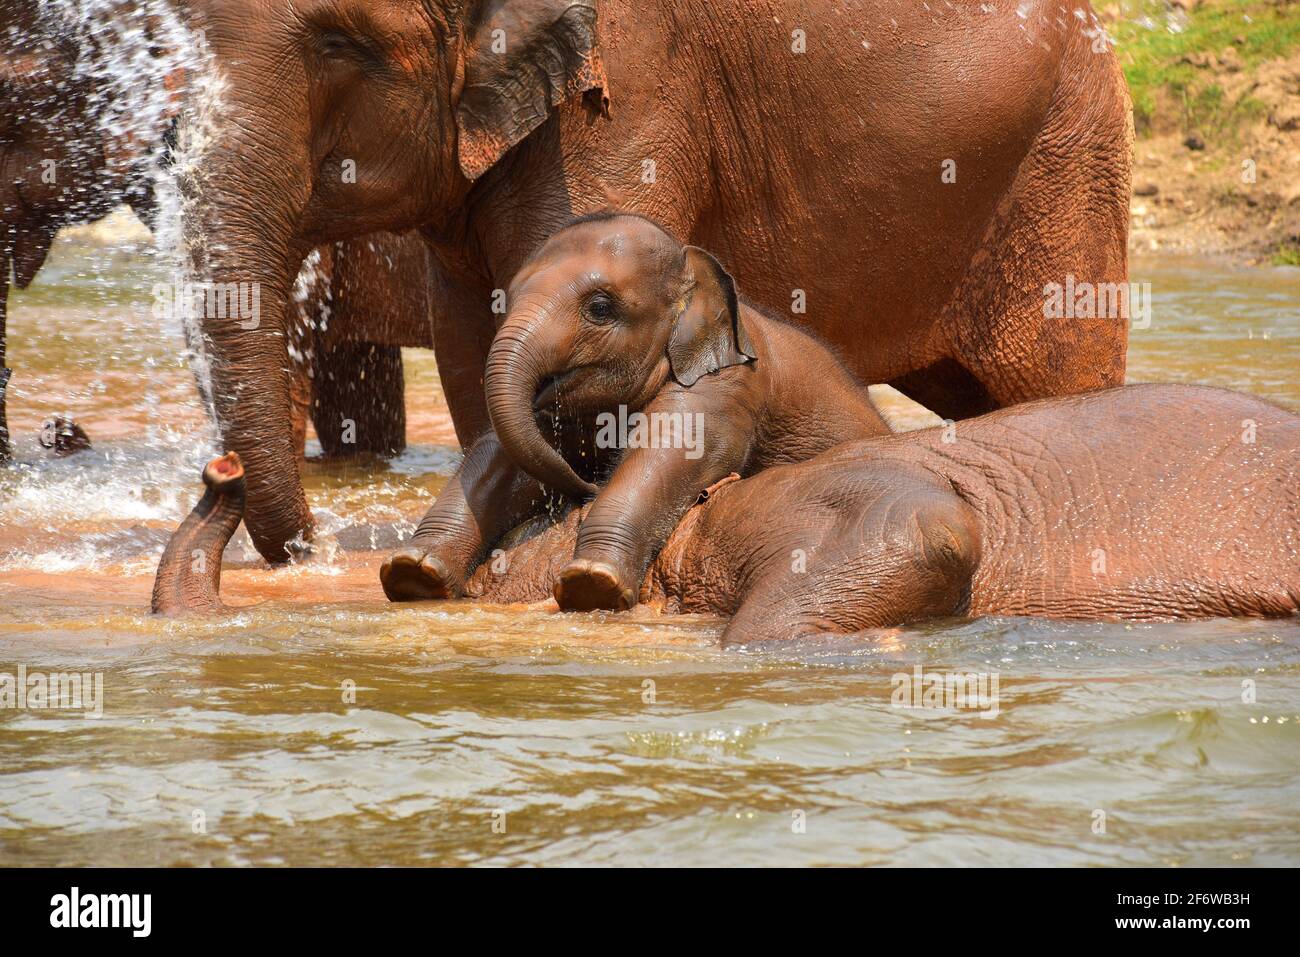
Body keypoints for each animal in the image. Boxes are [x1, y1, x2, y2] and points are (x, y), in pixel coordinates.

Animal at [182, 0, 1133, 565]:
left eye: (338, 43)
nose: (308, 546)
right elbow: (471, 359)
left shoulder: (627, 96)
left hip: (1066, 169)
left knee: (1053, 379)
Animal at [381, 212, 893, 610]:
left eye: (600, 308)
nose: (585, 487)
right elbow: (505, 455)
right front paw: (412, 572)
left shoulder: (728, 386)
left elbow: (670, 452)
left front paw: (592, 583)